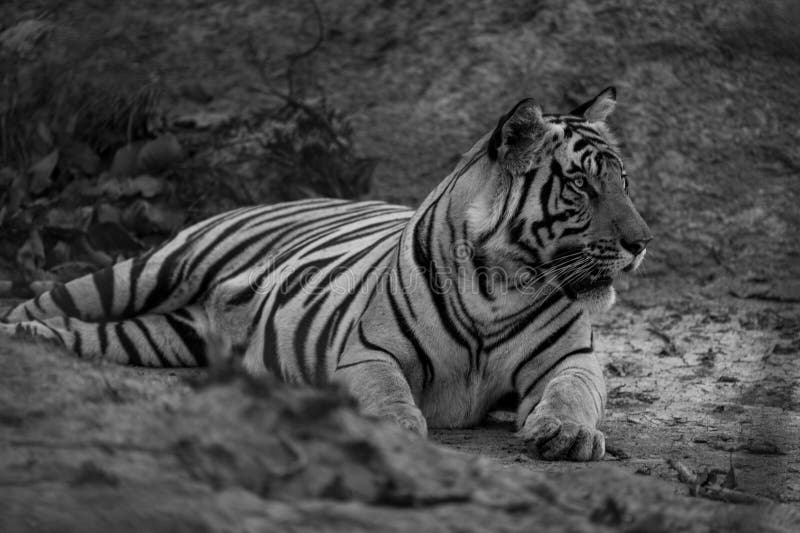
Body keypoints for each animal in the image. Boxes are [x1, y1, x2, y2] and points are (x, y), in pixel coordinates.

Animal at [1, 87, 651, 461]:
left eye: (624, 181)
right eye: (579, 186)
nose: (641, 243)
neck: (501, 287)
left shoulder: (571, 359)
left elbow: (572, 391)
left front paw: (567, 434)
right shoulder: (367, 351)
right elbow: (386, 390)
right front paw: (397, 427)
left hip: (164, 335)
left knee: (82, 336)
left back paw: (33, 345)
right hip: (150, 269)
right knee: (41, 303)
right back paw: (17, 338)